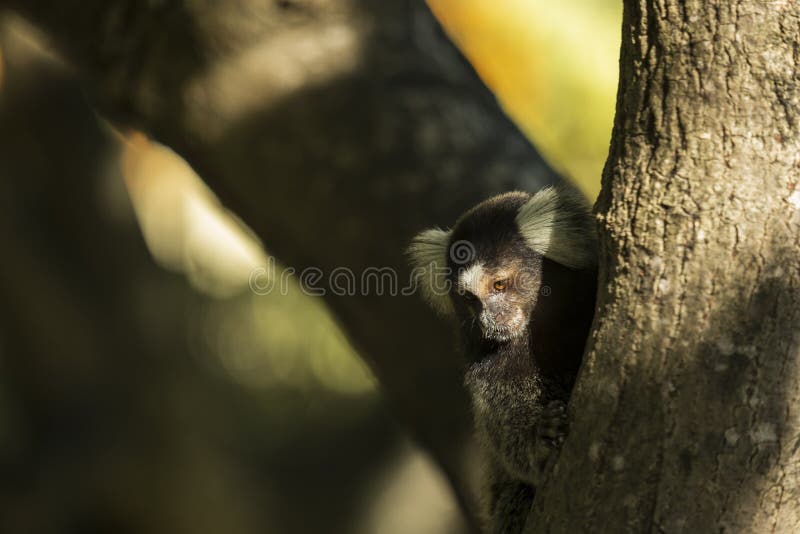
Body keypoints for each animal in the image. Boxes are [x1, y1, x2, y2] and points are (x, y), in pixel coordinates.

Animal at [407, 186, 598, 533]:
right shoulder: (487, 366)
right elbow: (506, 430)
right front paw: (541, 436)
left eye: (499, 284)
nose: (490, 319)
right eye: (469, 298)